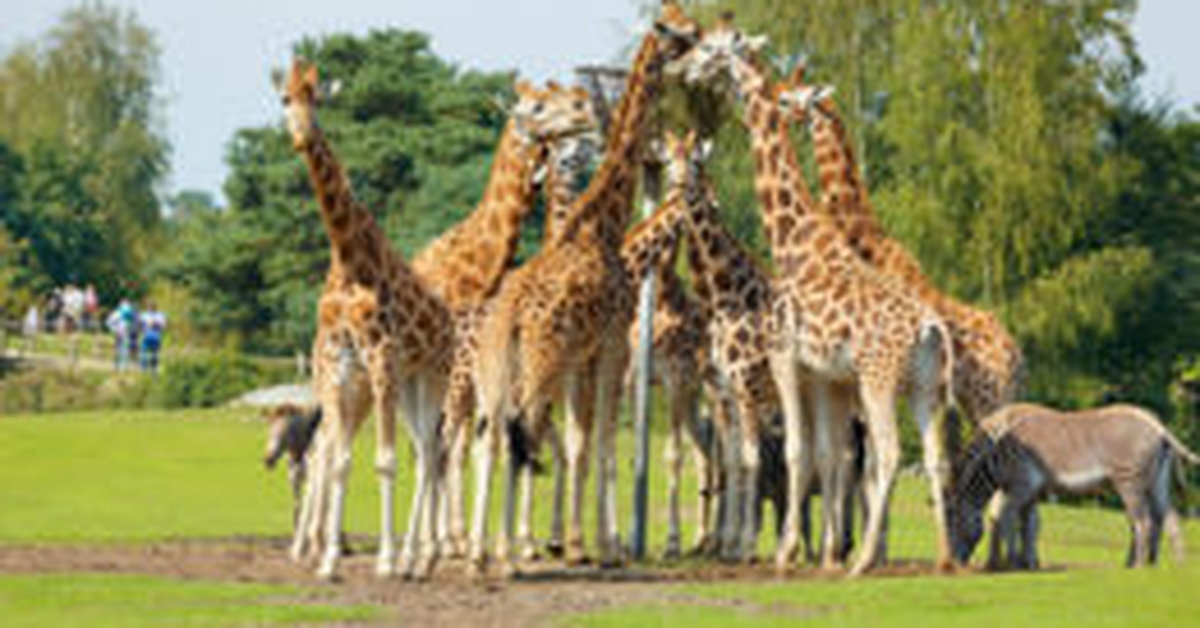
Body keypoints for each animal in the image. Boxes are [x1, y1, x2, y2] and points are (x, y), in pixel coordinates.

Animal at [275, 59, 453, 580]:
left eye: (317, 97)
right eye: (285, 98)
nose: (301, 136)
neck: (349, 259)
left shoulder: (379, 357)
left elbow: (385, 461)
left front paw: (386, 562)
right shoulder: (342, 364)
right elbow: (339, 461)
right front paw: (329, 561)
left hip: (430, 375)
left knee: (429, 453)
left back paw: (415, 558)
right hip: (405, 383)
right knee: (425, 451)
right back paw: (417, 558)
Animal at [470, 2, 700, 574]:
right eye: (674, 25)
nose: (700, 34)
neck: (602, 222)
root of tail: (507, 320)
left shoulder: (583, 355)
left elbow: (578, 443)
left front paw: (577, 543)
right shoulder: (612, 341)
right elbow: (603, 445)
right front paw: (607, 548)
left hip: (500, 370)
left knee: (493, 437)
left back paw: (479, 553)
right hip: (542, 364)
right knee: (520, 433)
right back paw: (507, 555)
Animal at [670, 18, 958, 574]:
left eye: (715, 47)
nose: (685, 66)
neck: (793, 242)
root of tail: (930, 327)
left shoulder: (784, 362)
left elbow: (794, 454)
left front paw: (783, 550)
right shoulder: (823, 377)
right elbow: (822, 456)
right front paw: (819, 551)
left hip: (878, 379)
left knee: (889, 454)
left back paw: (865, 558)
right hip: (923, 386)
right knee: (932, 456)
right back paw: (944, 556)